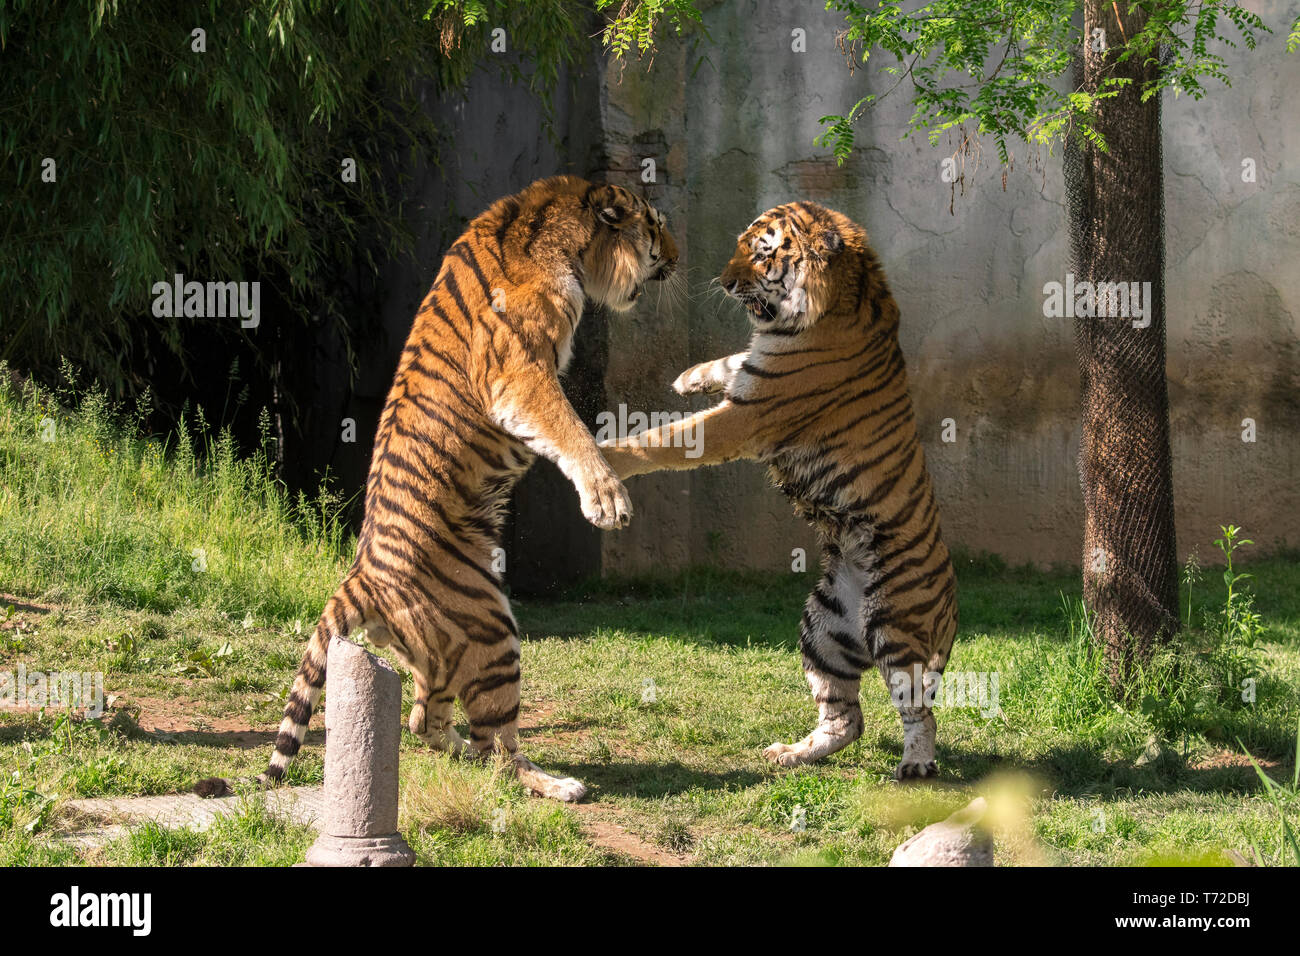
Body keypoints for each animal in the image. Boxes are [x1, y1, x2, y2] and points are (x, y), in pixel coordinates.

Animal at [197, 175, 677, 802]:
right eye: (657, 227)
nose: (679, 258)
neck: (558, 226)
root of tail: (360, 577)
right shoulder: (520, 373)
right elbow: (569, 427)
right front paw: (608, 498)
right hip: (494, 630)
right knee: (497, 748)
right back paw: (556, 784)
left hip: (440, 650)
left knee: (425, 718)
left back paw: (461, 751)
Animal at [598, 200, 956, 779]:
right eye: (740, 245)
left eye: (763, 253)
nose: (723, 282)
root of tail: (953, 607)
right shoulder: (751, 375)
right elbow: (730, 363)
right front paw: (690, 376)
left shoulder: (747, 417)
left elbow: (663, 440)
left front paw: (605, 455)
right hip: (824, 629)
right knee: (846, 718)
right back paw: (791, 754)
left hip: (897, 626)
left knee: (920, 709)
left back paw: (916, 765)